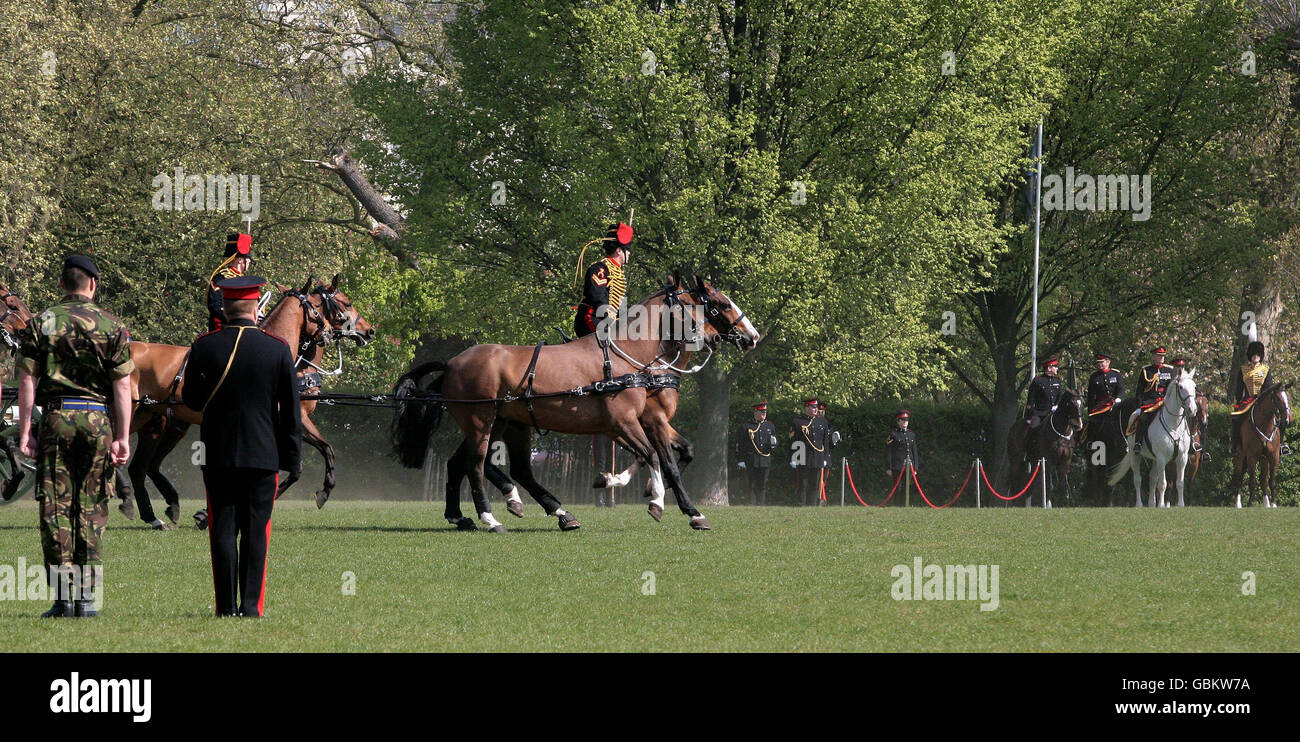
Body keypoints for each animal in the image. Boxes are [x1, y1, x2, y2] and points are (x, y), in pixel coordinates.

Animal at [125, 275, 373, 523]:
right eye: (346, 303)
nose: (369, 332)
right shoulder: (288, 421)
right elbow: (292, 467)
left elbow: (323, 450)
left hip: (159, 422)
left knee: (141, 466)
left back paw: (157, 512)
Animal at [392, 272, 758, 532]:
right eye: (717, 303)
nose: (750, 337)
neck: (634, 359)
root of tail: (453, 362)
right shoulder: (626, 422)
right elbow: (658, 458)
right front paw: (659, 500)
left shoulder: (639, 423)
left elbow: (675, 454)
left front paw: (653, 494)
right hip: (482, 422)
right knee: (476, 464)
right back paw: (491, 517)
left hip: (506, 423)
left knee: (491, 466)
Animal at [1108, 368, 1198, 507]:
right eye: (1181, 387)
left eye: (1194, 386)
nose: (1192, 409)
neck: (1174, 424)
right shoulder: (1162, 457)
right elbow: (1163, 484)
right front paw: (1161, 505)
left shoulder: (1182, 457)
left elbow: (1179, 482)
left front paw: (1180, 505)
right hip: (1135, 455)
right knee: (1137, 479)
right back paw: (1140, 504)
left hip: (1155, 459)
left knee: (1152, 478)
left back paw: (1151, 504)